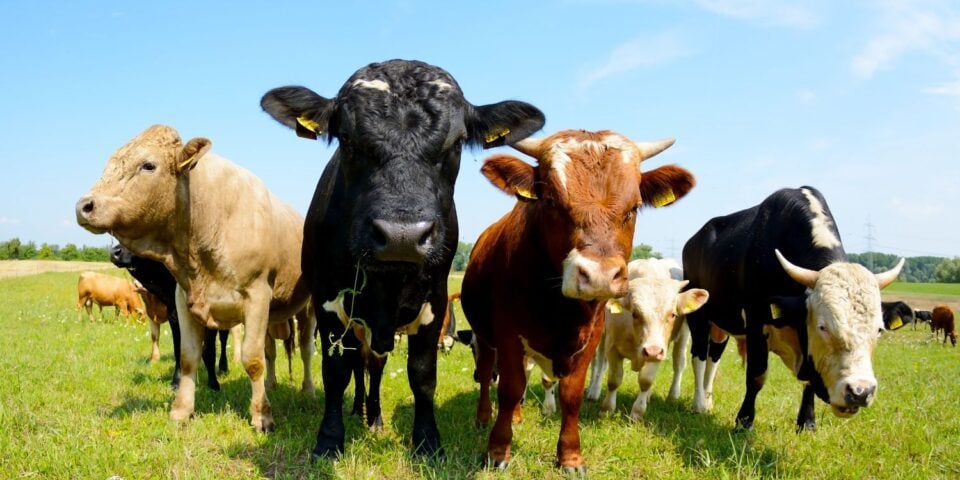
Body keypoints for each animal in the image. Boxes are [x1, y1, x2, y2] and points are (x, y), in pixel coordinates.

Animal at [111, 243, 233, 390]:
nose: (114, 252)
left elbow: (209, 351)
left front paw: (213, 383)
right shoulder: (174, 316)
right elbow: (178, 350)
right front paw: (177, 381)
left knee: (223, 340)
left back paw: (223, 367)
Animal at [260, 59, 545, 459]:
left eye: (457, 143)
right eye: (347, 139)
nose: (402, 235)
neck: (387, 283)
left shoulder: (435, 303)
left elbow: (422, 375)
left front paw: (427, 441)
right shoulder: (327, 302)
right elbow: (336, 371)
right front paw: (330, 439)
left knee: (375, 366)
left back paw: (374, 416)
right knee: (360, 365)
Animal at [461, 129, 695, 472]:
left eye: (635, 207)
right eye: (550, 201)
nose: (599, 275)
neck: (558, 308)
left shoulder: (592, 336)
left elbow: (572, 394)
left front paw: (570, 456)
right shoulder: (508, 334)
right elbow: (510, 387)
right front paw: (497, 451)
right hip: (484, 335)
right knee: (488, 370)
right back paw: (482, 417)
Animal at [585, 258, 709, 419]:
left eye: (672, 314)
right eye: (635, 314)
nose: (652, 351)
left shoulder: (660, 349)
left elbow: (646, 380)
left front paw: (637, 413)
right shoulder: (613, 347)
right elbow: (614, 379)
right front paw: (606, 410)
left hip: (683, 335)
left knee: (679, 362)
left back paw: (671, 395)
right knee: (599, 362)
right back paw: (593, 391)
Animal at [682, 186, 904, 432]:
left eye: (879, 330)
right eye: (823, 327)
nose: (860, 392)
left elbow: (808, 382)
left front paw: (807, 422)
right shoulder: (756, 320)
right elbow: (757, 375)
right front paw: (744, 421)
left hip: (722, 323)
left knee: (714, 358)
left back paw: (708, 402)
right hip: (699, 316)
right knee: (699, 356)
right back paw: (698, 404)